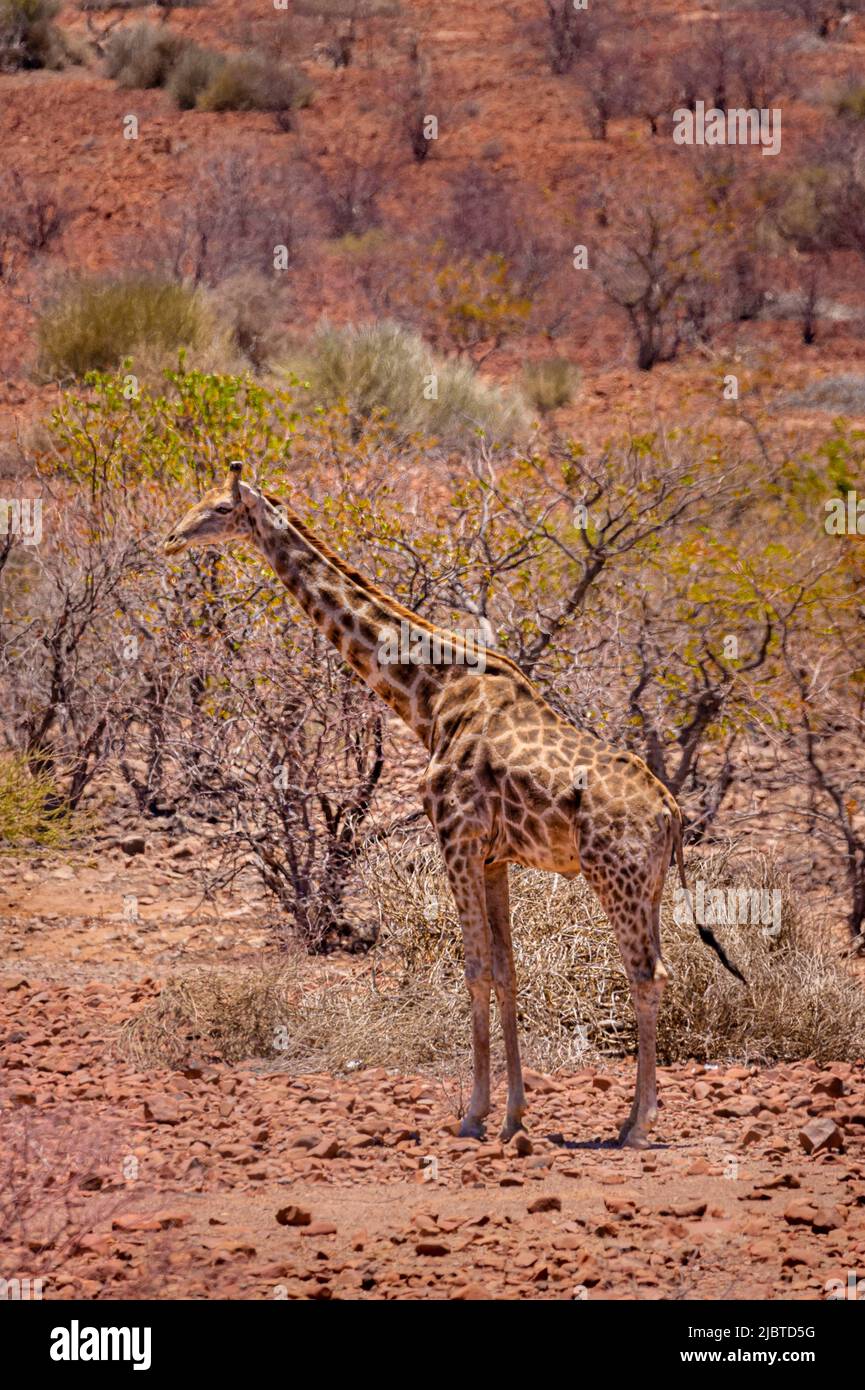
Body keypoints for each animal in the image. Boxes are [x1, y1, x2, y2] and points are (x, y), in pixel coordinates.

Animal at [163, 463, 745, 1148]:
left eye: (220, 507)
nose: (170, 538)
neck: (431, 696)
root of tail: (672, 811)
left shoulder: (456, 840)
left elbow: (474, 971)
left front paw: (472, 1115)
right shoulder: (494, 858)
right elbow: (508, 971)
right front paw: (514, 1115)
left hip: (616, 879)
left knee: (647, 975)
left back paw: (636, 1125)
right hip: (648, 887)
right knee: (654, 969)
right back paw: (631, 1117)